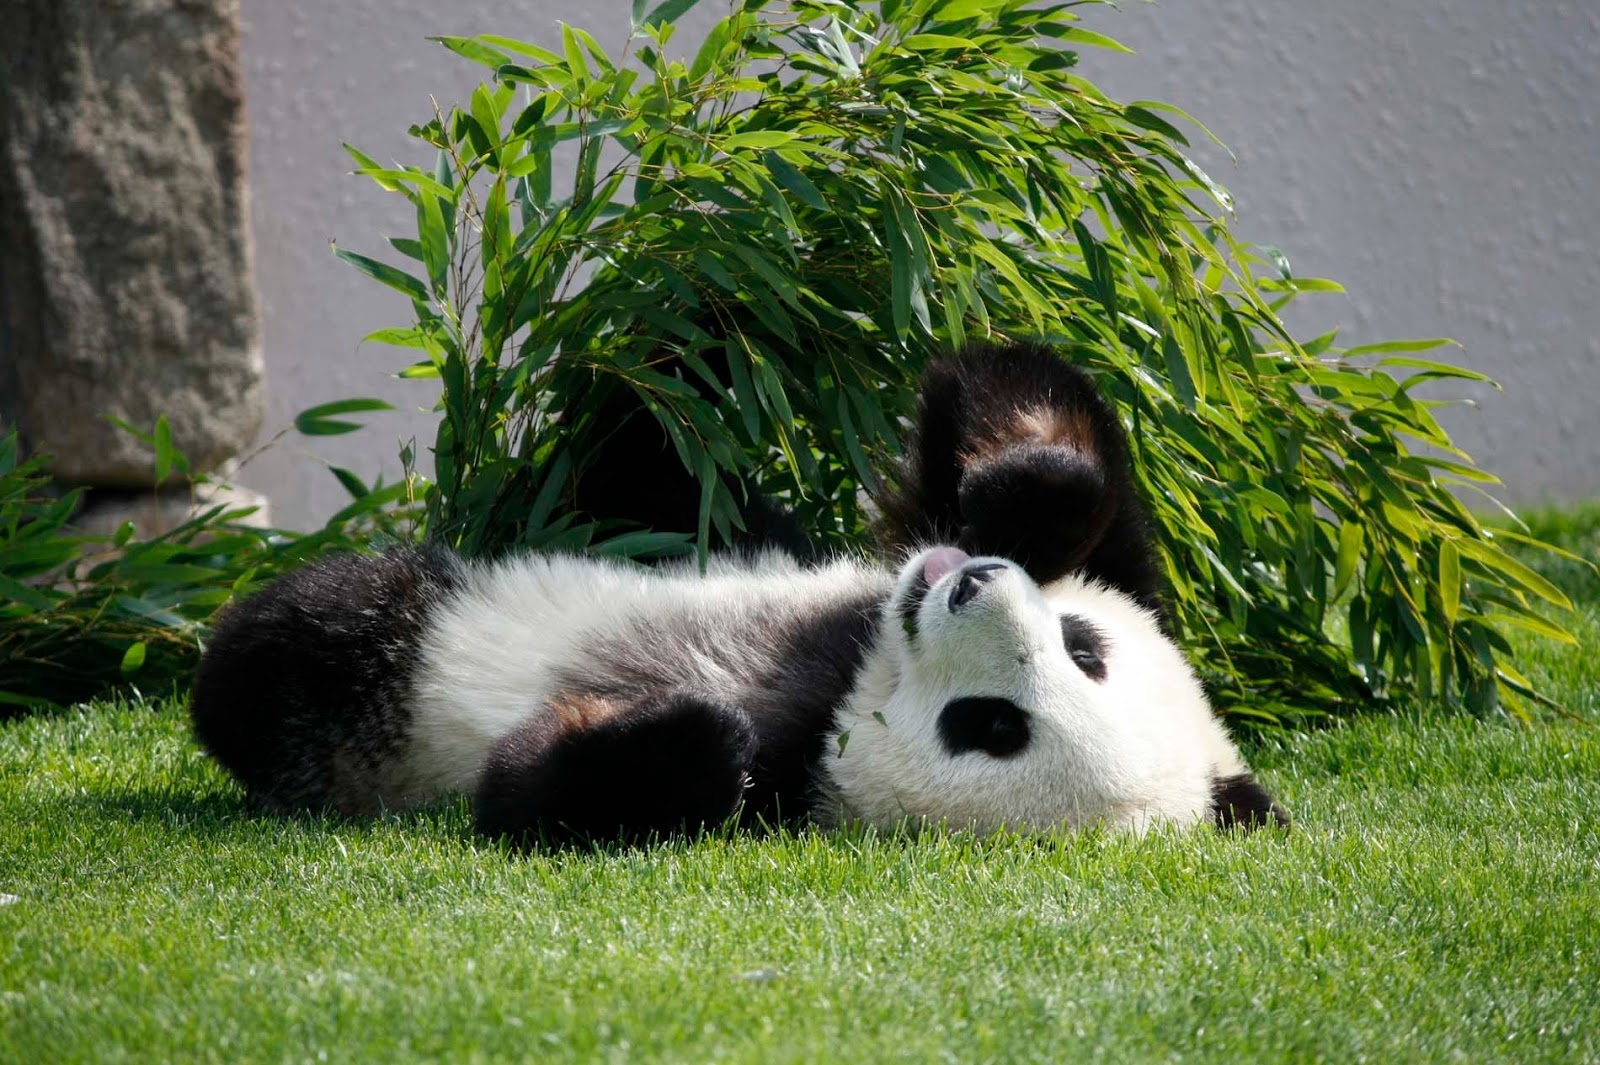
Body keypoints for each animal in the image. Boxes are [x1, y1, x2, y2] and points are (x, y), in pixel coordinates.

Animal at [189, 342, 1287, 846]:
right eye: (1081, 642)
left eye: (993, 728)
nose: (969, 583)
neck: (857, 673)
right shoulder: (1113, 562)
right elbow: (1038, 406)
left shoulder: (798, 786)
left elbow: (541, 793)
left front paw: (681, 727)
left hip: (389, 685)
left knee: (312, 643)